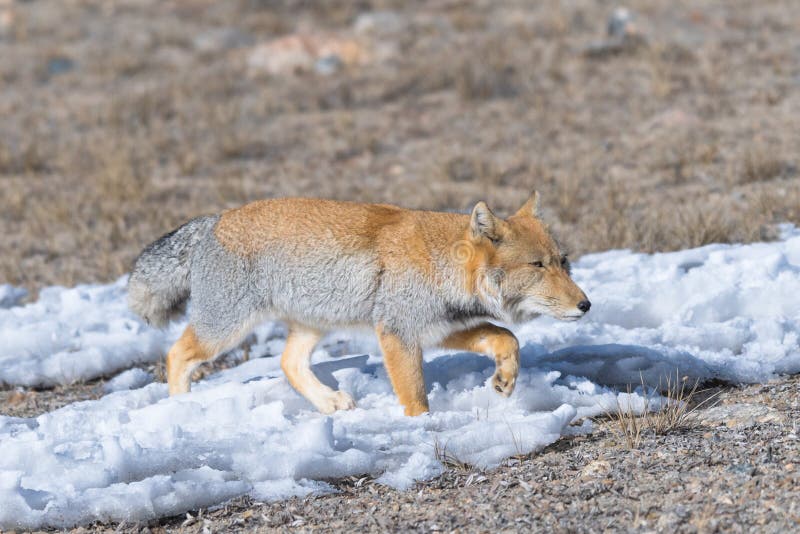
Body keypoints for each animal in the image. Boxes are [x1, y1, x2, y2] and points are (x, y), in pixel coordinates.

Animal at [127, 193, 590, 416]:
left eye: (563, 262)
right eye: (537, 266)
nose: (586, 305)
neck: (442, 262)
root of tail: (213, 220)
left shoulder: (438, 329)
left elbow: (507, 338)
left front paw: (505, 380)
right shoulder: (397, 334)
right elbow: (415, 398)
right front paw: (425, 431)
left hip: (312, 326)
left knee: (288, 364)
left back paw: (329, 403)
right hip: (223, 332)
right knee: (176, 355)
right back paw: (181, 409)